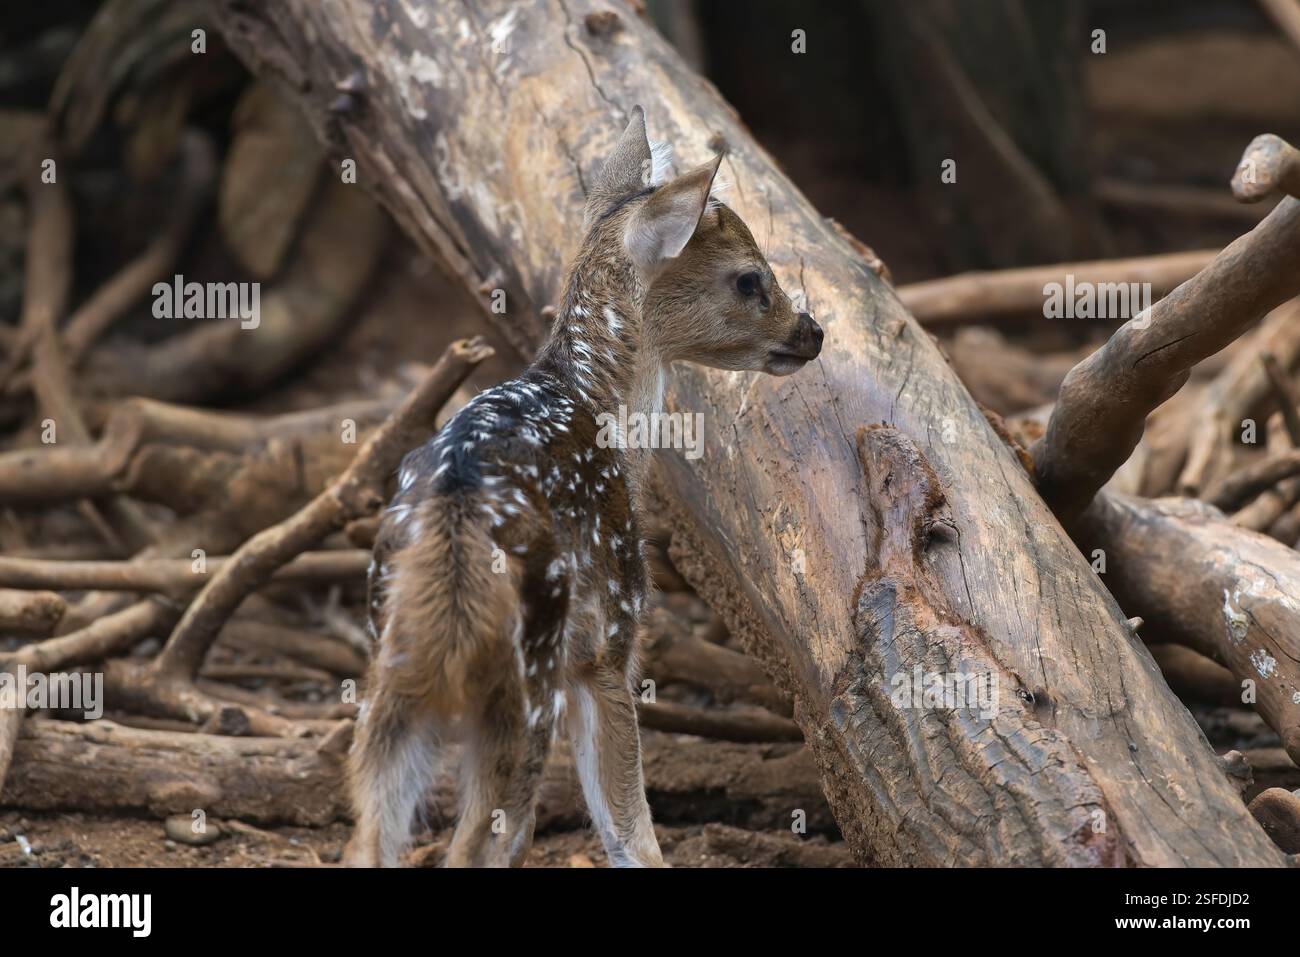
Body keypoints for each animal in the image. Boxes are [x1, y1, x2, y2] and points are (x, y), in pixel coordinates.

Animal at [346, 107, 823, 867]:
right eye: (750, 279)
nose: (813, 331)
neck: (602, 414)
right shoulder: (609, 646)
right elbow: (628, 824)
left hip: (394, 679)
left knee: (375, 837)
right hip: (526, 681)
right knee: (479, 840)